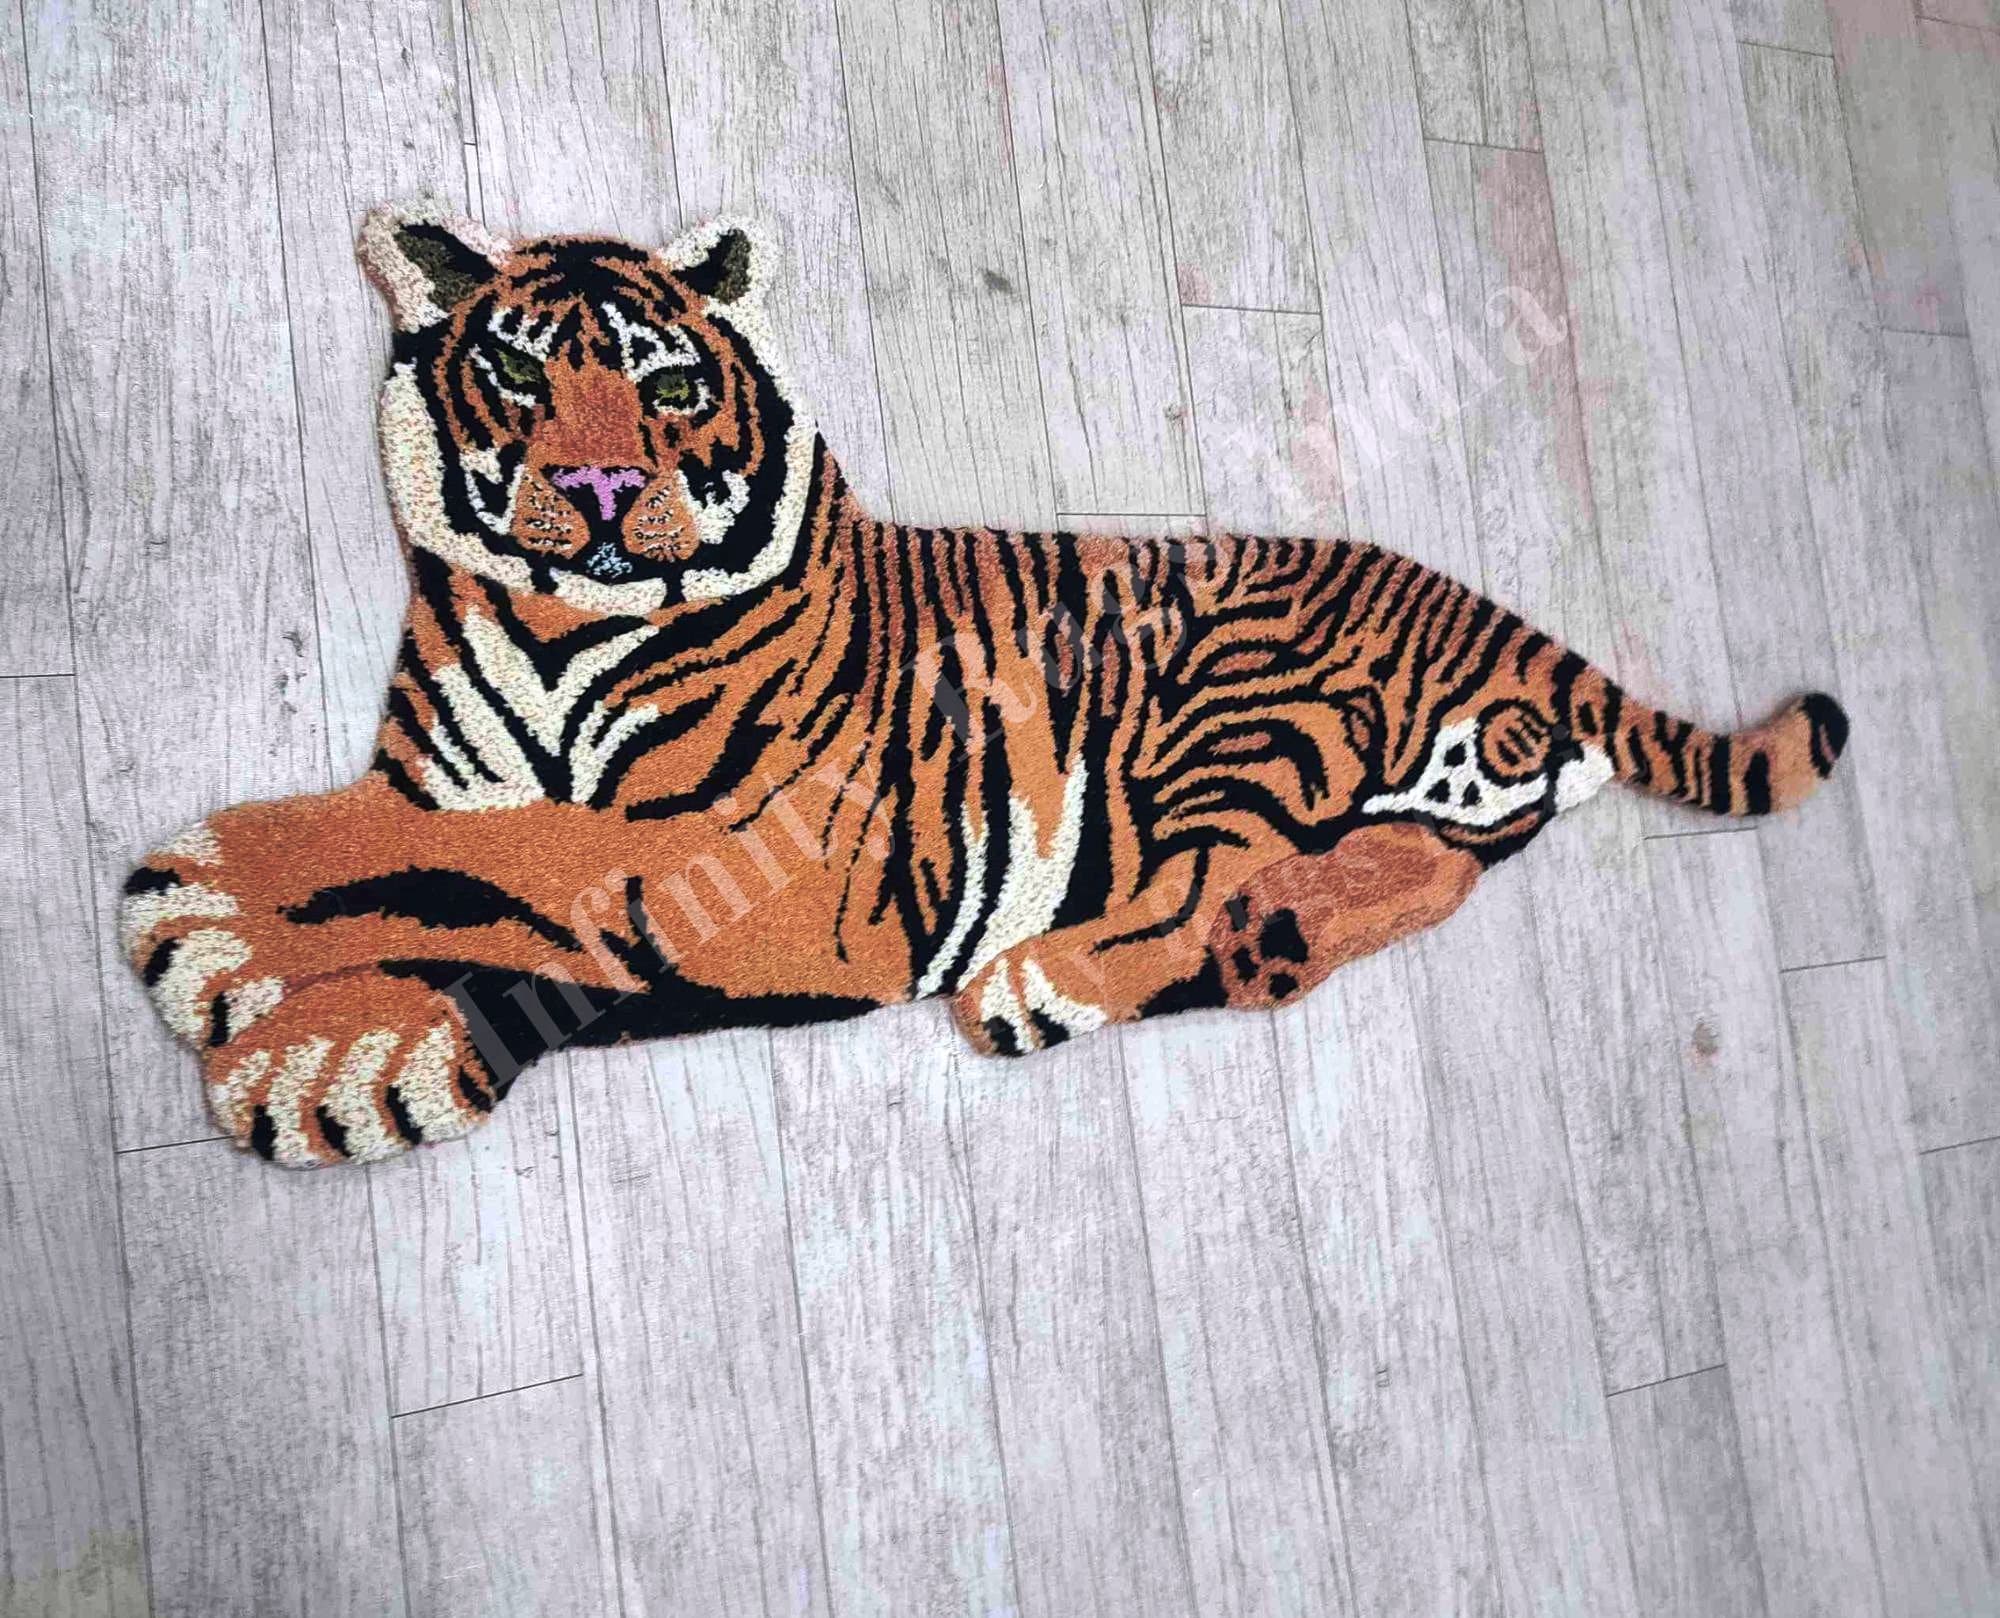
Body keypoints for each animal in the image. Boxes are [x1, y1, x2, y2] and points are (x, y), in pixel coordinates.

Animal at [121, 204, 1850, 1167]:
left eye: (666, 381)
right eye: (516, 367)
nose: (603, 487)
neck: (550, 626)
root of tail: (1487, 608)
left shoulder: (767, 875)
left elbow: (523, 863)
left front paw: (237, 943)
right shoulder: (453, 786)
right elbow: (439, 866)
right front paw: (304, 1020)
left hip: (1230, 703)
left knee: (1200, 877)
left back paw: (1059, 980)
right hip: (1420, 804)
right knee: (1413, 871)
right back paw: (1275, 944)